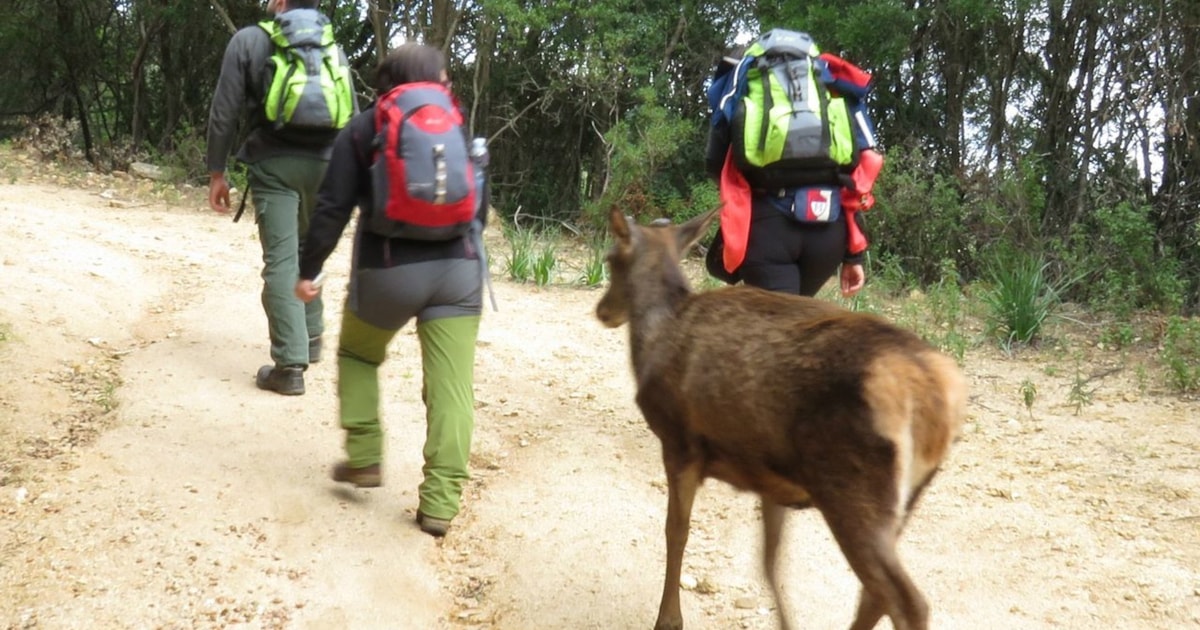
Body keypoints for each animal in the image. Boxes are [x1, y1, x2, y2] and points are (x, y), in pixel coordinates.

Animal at [595, 206, 968, 630]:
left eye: (610, 259)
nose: (602, 310)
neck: (656, 336)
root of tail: (937, 398)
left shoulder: (678, 440)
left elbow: (677, 531)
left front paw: (669, 619)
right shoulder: (771, 478)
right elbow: (770, 559)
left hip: (852, 487)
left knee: (906, 600)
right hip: (904, 495)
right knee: (874, 595)